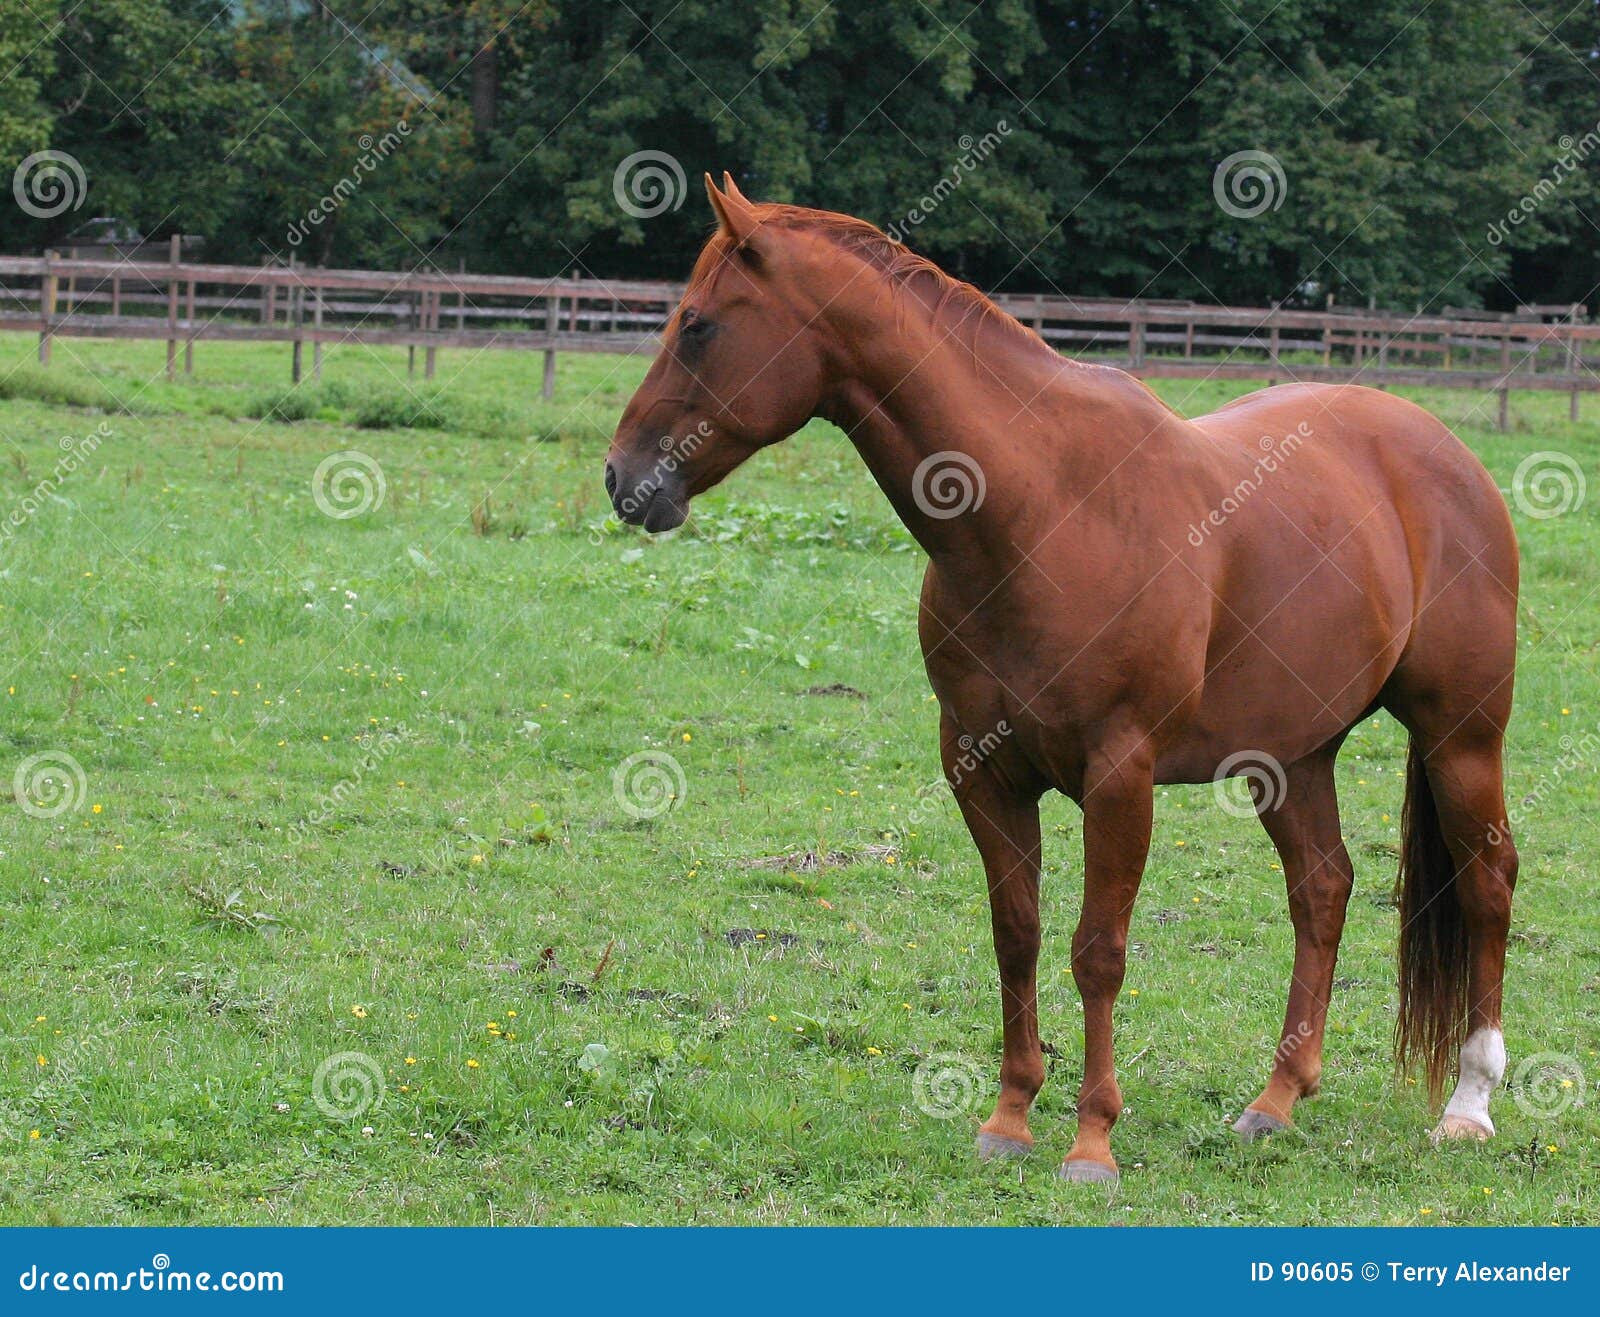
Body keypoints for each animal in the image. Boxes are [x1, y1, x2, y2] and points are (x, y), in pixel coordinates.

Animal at [604, 173, 1520, 1182]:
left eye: (698, 325)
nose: (622, 477)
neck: (1042, 508)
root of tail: (1446, 455)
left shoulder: (1119, 774)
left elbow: (1098, 951)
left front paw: (1092, 1140)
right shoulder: (984, 770)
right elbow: (1018, 935)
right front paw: (1009, 1119)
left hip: (1461, 737)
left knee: (1487, 882)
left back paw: (1470, 1105)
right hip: (1293, 755)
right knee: (1322, 890)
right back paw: (1275, 1101)